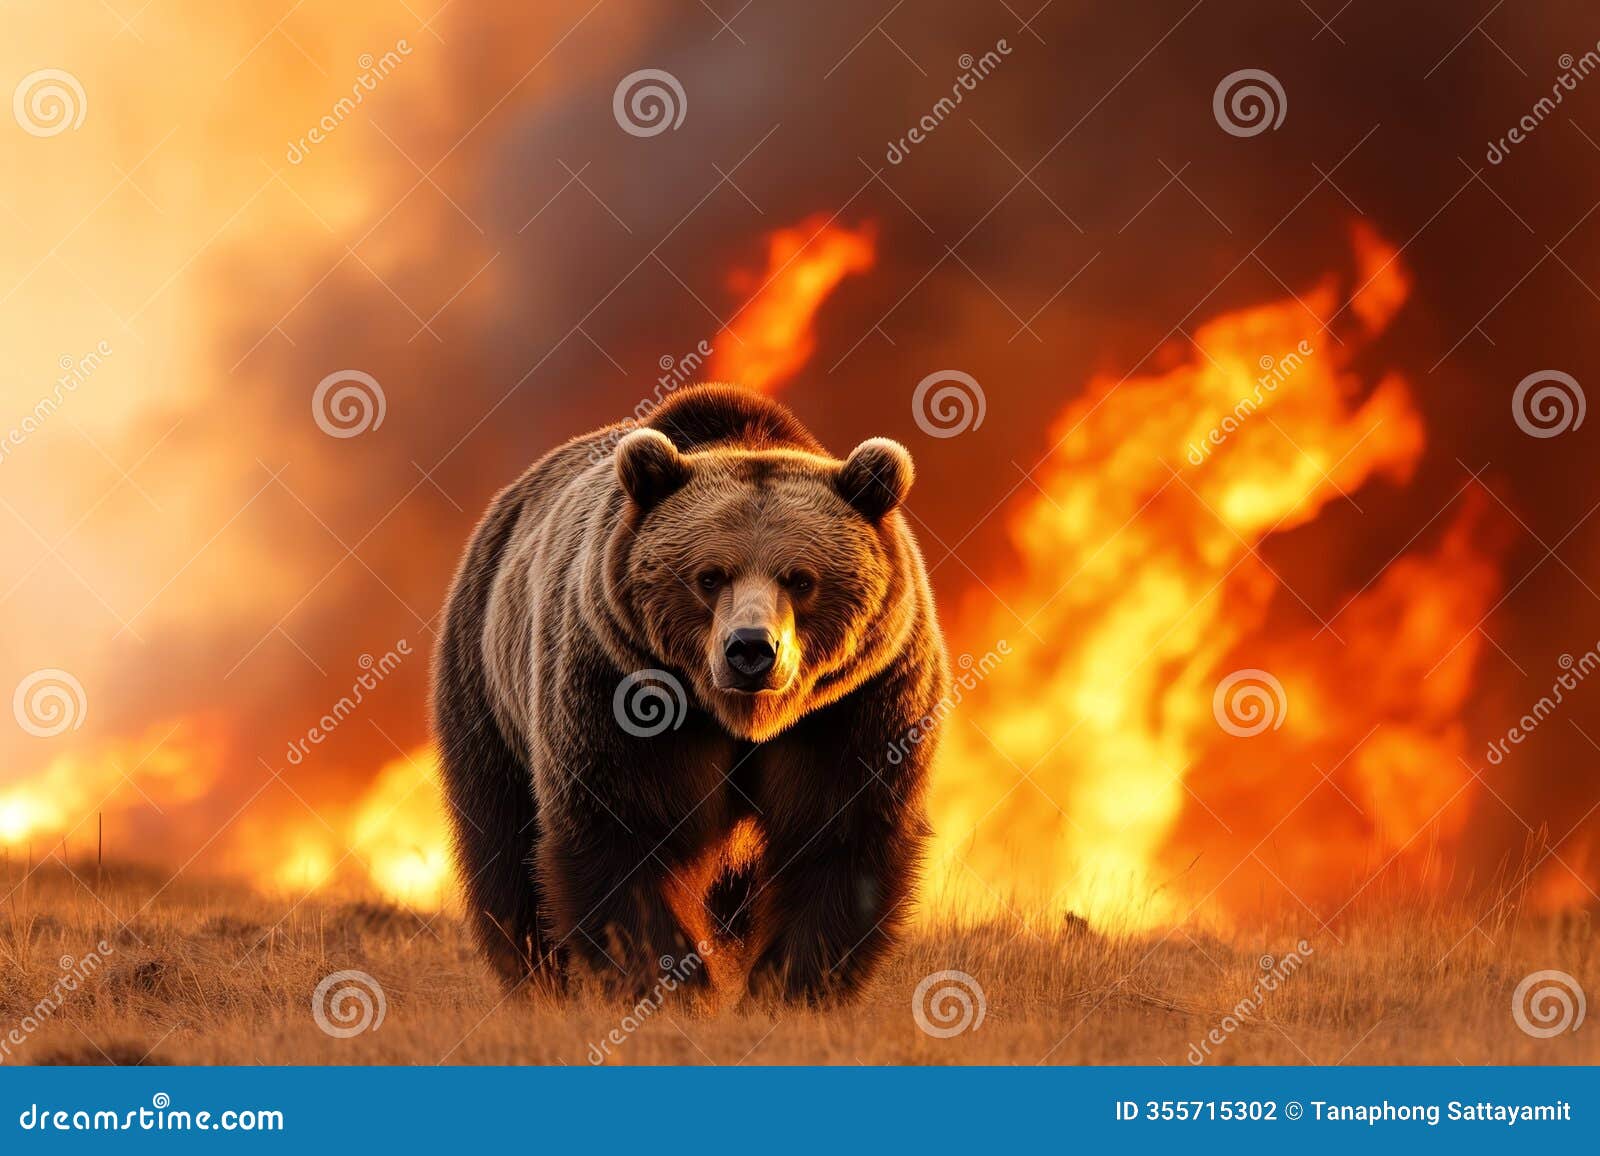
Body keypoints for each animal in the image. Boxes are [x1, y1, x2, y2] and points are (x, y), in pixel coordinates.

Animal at [431, 383, 949, 1007]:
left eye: (800, 578)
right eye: (709, 575)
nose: (750, 649)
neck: (741, 718)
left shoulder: (858, 702)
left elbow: (838, 836)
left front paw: (788, 992)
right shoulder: (623, 688)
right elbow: (629, 835)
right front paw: (671, 989)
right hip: (486, 683)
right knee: (505, 846)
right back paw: (538, 981)